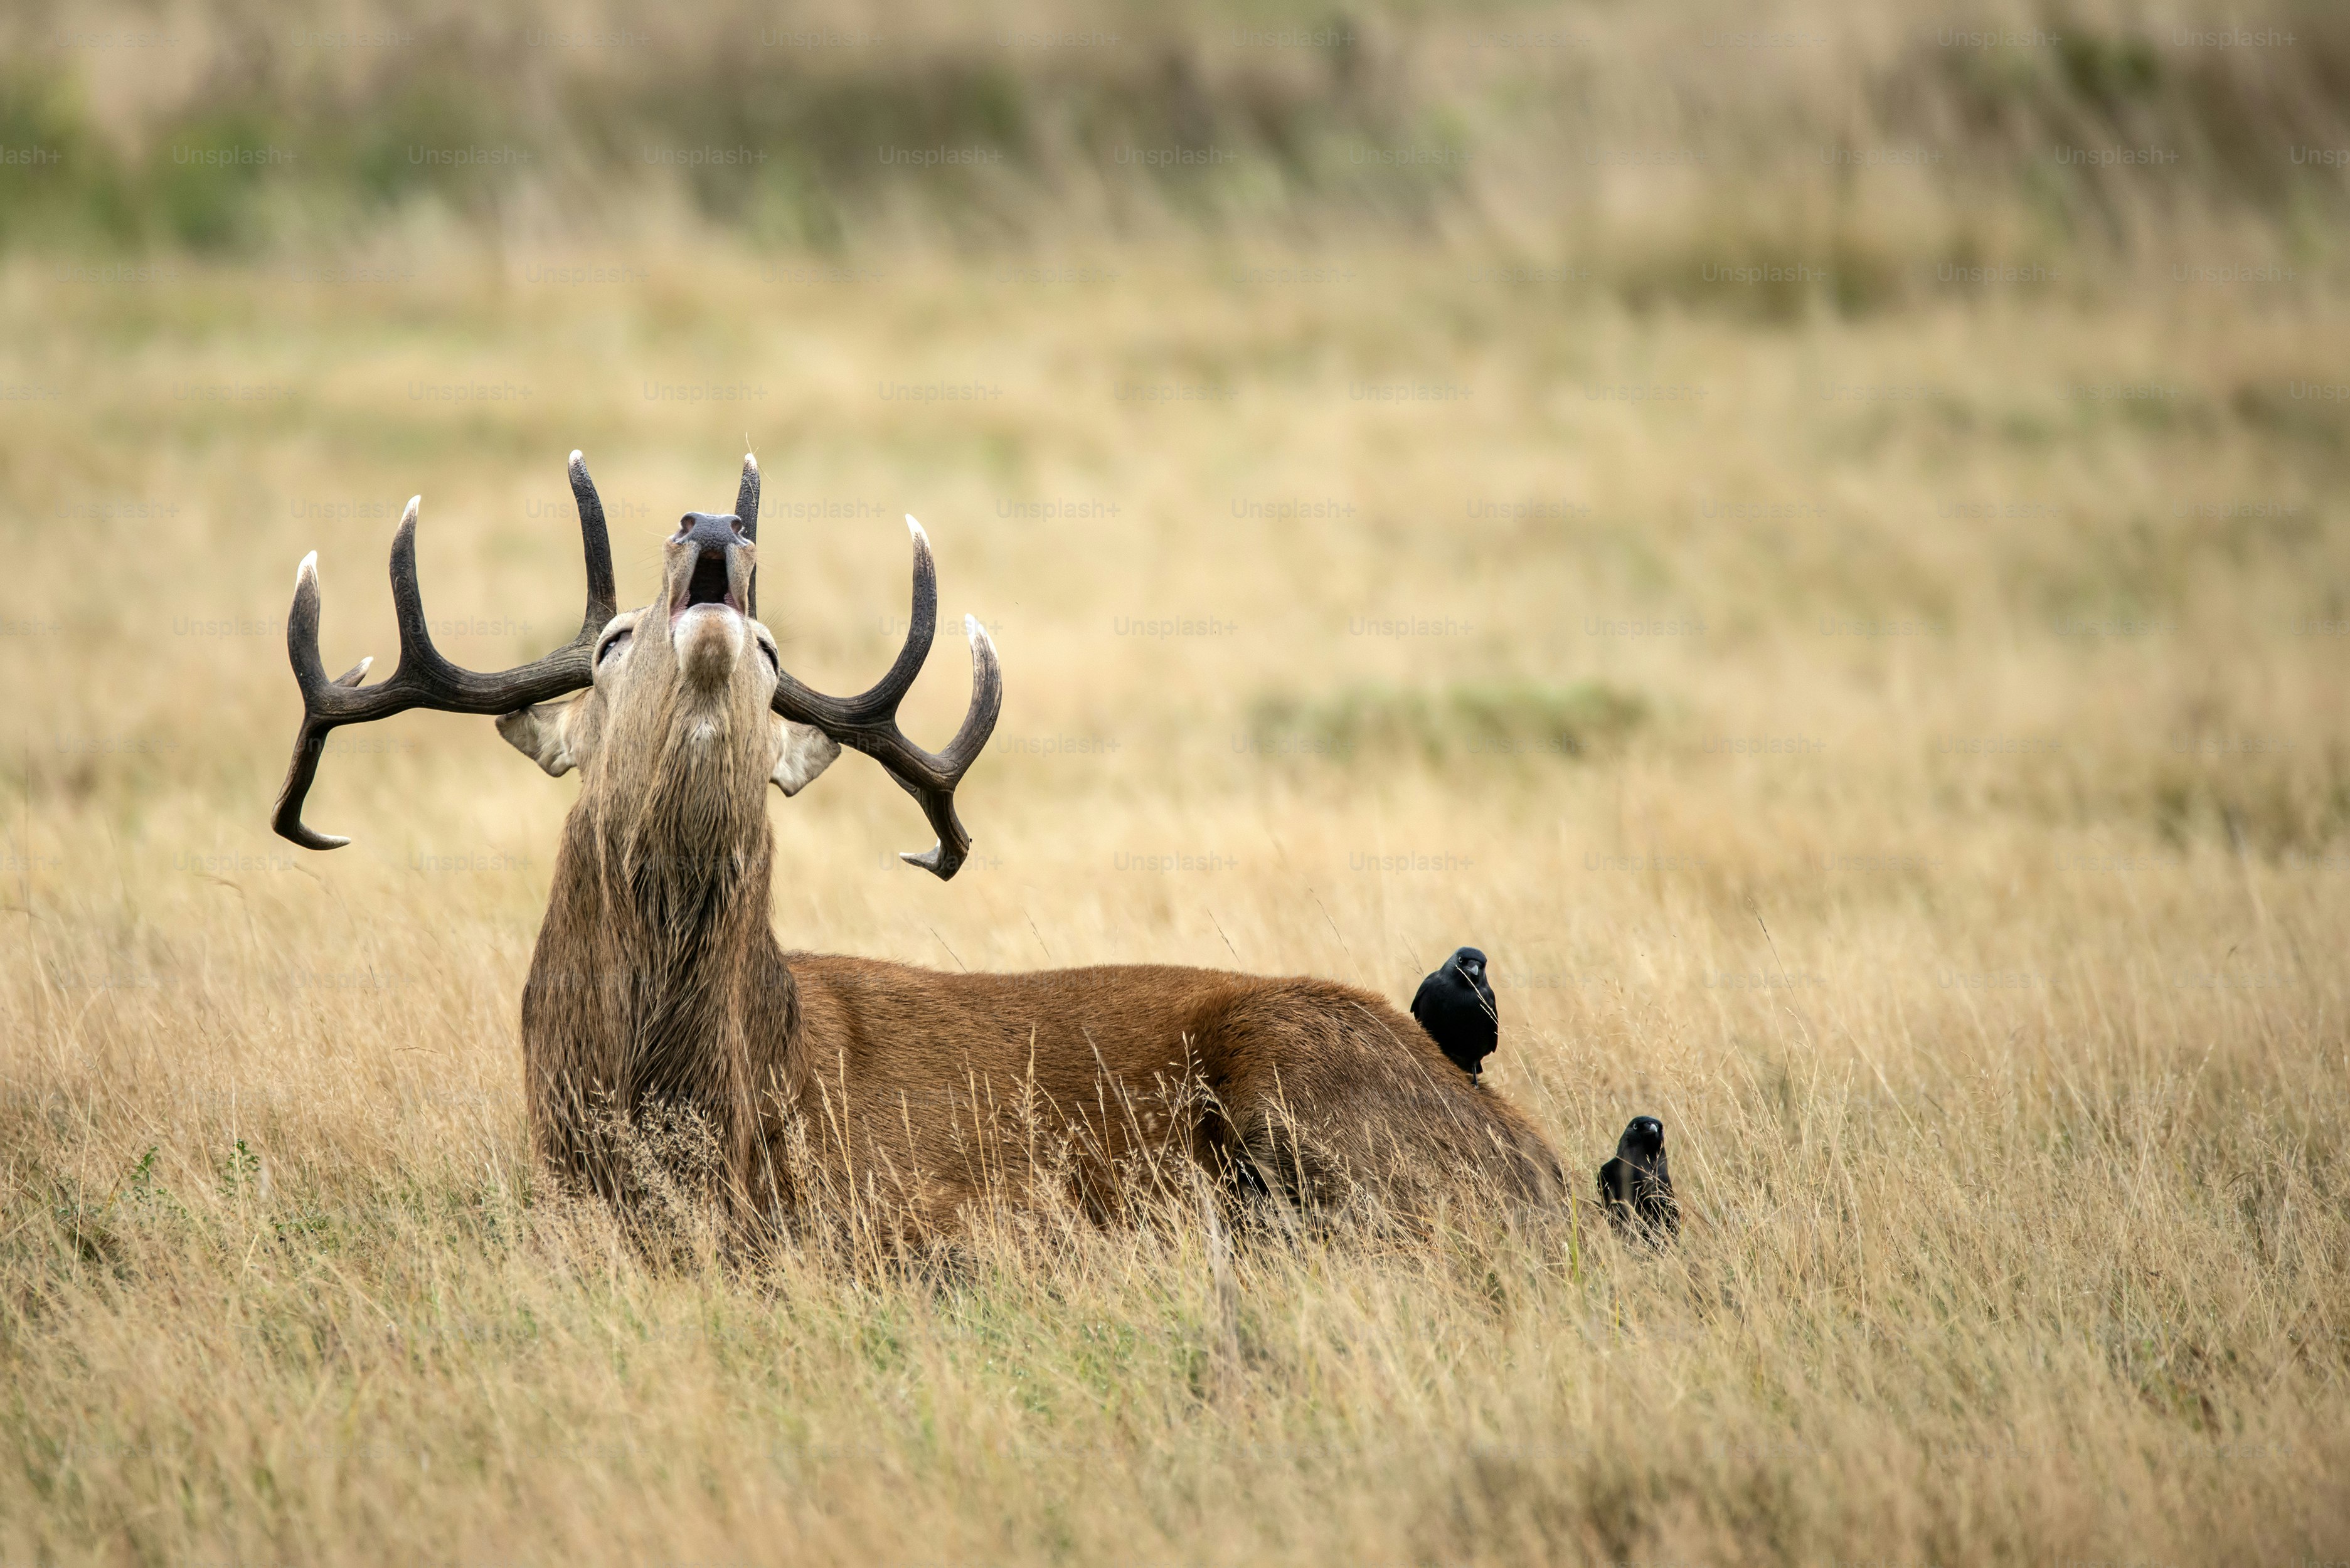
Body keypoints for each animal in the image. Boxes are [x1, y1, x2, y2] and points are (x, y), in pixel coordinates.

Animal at [270, 452, 1565, 1239]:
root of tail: (1542, 1165)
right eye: (608, 641)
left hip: (1312, 1082)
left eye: (775, 651)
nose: (712, 524)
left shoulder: (920, 1206)